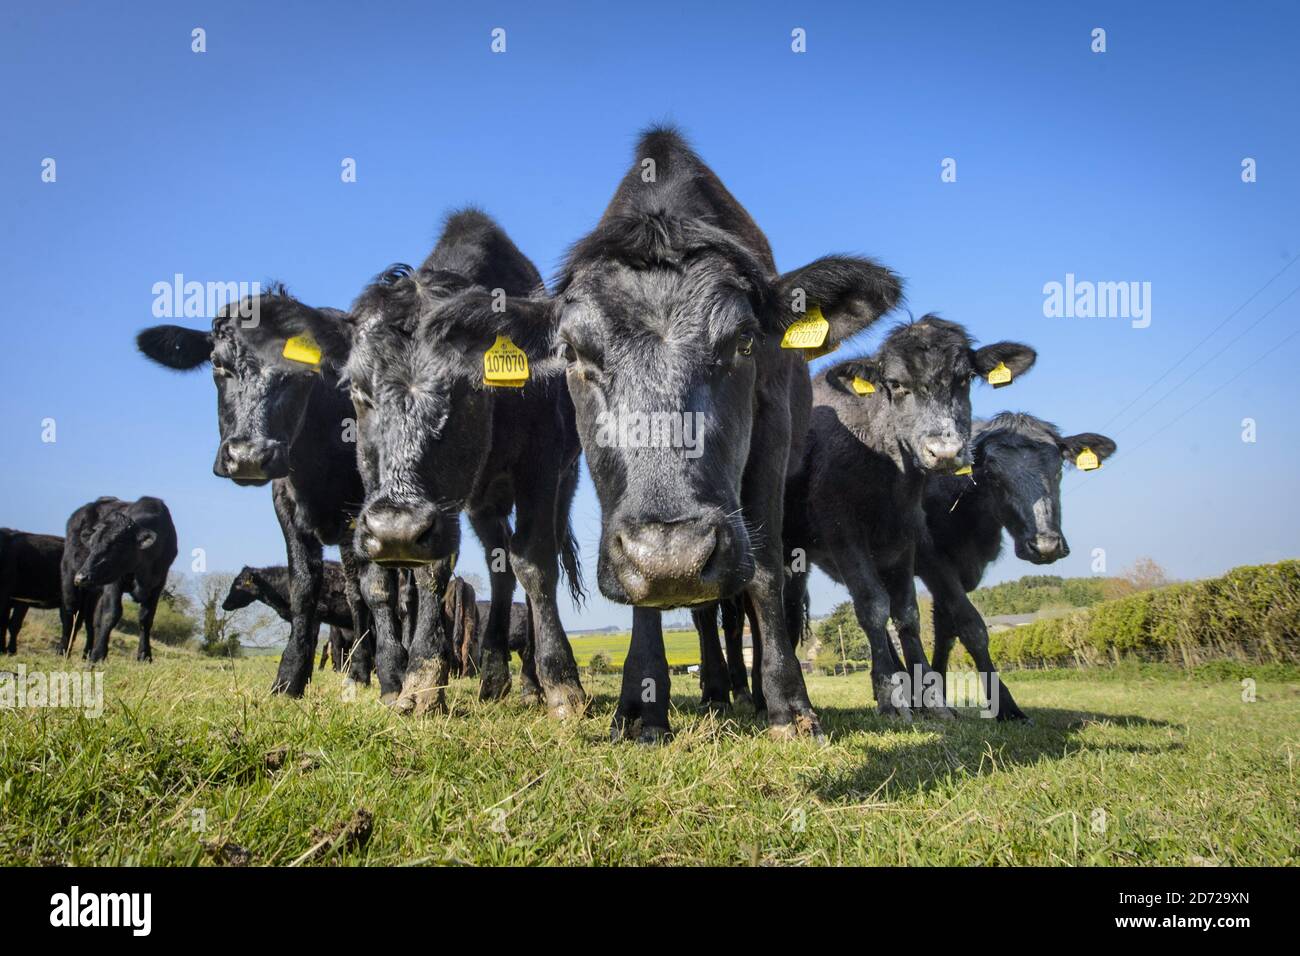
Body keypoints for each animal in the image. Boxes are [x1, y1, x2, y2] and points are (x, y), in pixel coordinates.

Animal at [60, 496, 178, 662]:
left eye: (117, 545)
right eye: (92, 544)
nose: (81, 576)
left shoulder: (158, 583)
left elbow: (146, 618)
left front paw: (144, 655)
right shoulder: (115, 581)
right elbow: (111, 613)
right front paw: (98, 655)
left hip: (94, 592)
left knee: (91, 620)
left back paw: (87, 652)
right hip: (69, 575)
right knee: (71, 614)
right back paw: (63, 650)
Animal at [292, 209, 586, 718]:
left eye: (468, 388)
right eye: (358, 392)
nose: (396, 530)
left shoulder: (543, 468)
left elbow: (535, 562)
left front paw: (562, 682)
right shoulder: (447, 512)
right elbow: (436, 571)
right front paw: (422, 680)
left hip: (560, 482)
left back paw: (530, 681)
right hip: (483, 502)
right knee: (498, 564)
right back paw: (493, 677)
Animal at [549, 127, 902, 740]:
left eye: (744, 342)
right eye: (571, 353)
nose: (672, 555)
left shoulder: (771, 438)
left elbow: (763, 576)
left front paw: (788, 704)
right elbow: (654, 600)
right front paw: (642, 705)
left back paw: (750, 690)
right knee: (708, 610)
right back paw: (718, 687)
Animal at [783, 317, 1037, 719]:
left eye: (964, 378)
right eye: (896, 384)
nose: (945, 451)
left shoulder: (905, 538)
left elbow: (906, 614)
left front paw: (932, 701)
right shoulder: (843, 533)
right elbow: (873, 606)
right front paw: (890, 697)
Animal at [917, 412, 1116, 719]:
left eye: (1058, 470)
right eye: (991, 475)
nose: (1045, 545)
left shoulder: (960, 571)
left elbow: (945, 631)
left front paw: (940, 696)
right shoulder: (932, 558)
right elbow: (972, 627)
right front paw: (1006, 707)